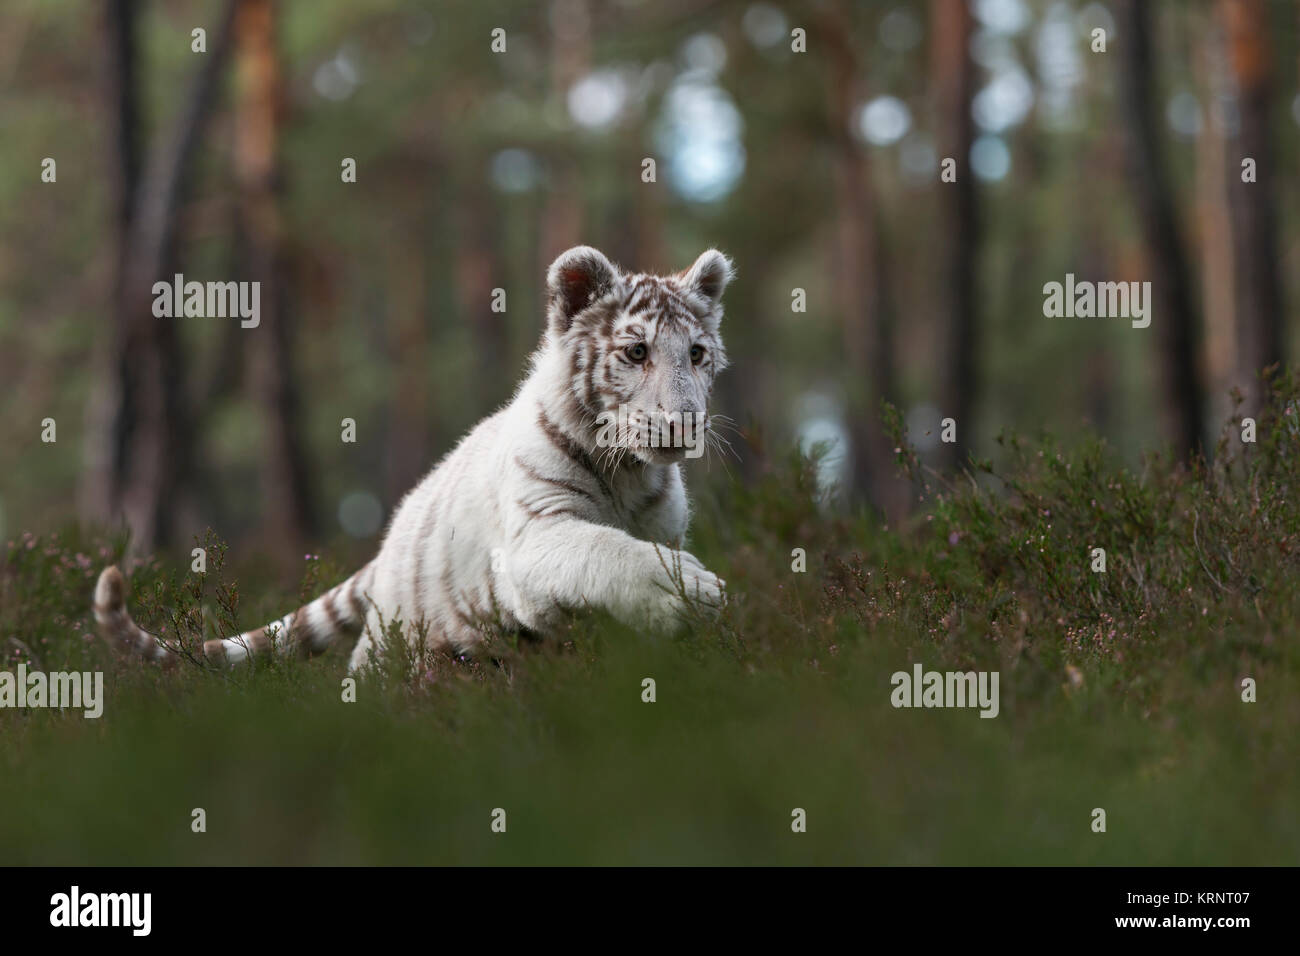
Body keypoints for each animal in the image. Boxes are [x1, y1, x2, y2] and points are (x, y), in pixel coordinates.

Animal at [93, 245, 733, 673]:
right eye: (637, 352)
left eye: (697, 354)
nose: (685, 421)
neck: (629, 471)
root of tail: (387, 543)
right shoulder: (533, 538)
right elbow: (605, 550)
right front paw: (694, 591)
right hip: (390, 640)